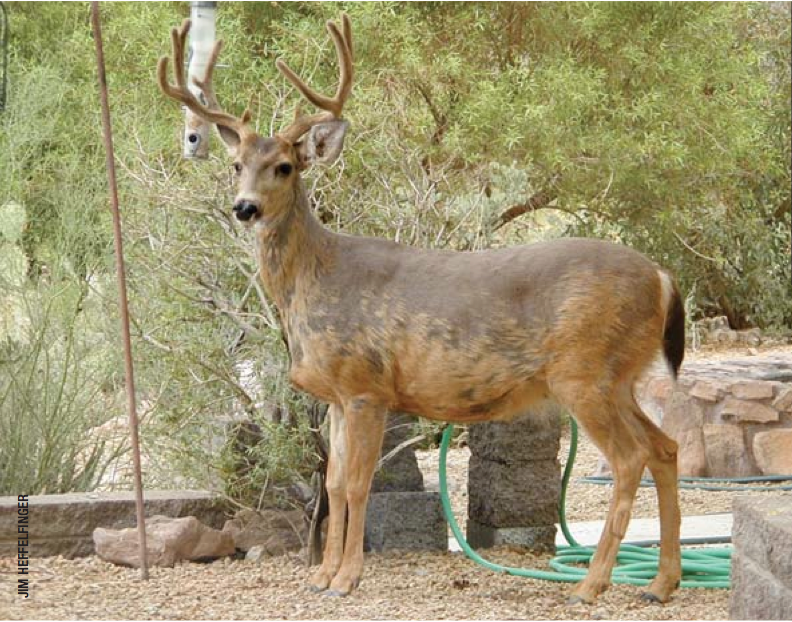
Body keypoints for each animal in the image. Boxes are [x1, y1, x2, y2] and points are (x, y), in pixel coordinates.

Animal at [157, 15, 685, 605]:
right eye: (236, 165)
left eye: (286, 166)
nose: (244, 208)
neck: (316, 280)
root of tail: (663, 278)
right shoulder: (335, 395)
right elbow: (333, 482)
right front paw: (320, 576)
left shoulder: (365, 386)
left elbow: (358, 483)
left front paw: (346, 578)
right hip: (619, 376)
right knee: (666, 448)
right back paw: (660, 583)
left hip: (584, 372)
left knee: (630, 458)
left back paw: (591, 585)